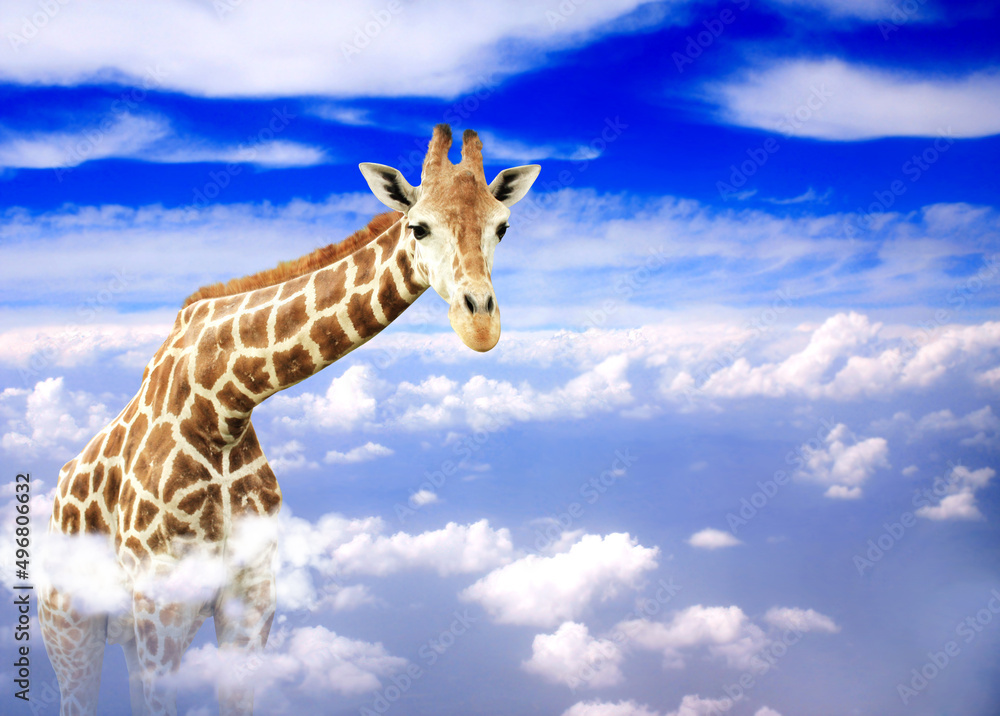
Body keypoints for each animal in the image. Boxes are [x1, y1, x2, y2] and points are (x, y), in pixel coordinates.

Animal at [38, 124, 540, 716]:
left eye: (502, 227)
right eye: (418, 227)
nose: (480, 326)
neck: (221, 407)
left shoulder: (252, 597)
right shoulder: (162, 603)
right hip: (70, 625)